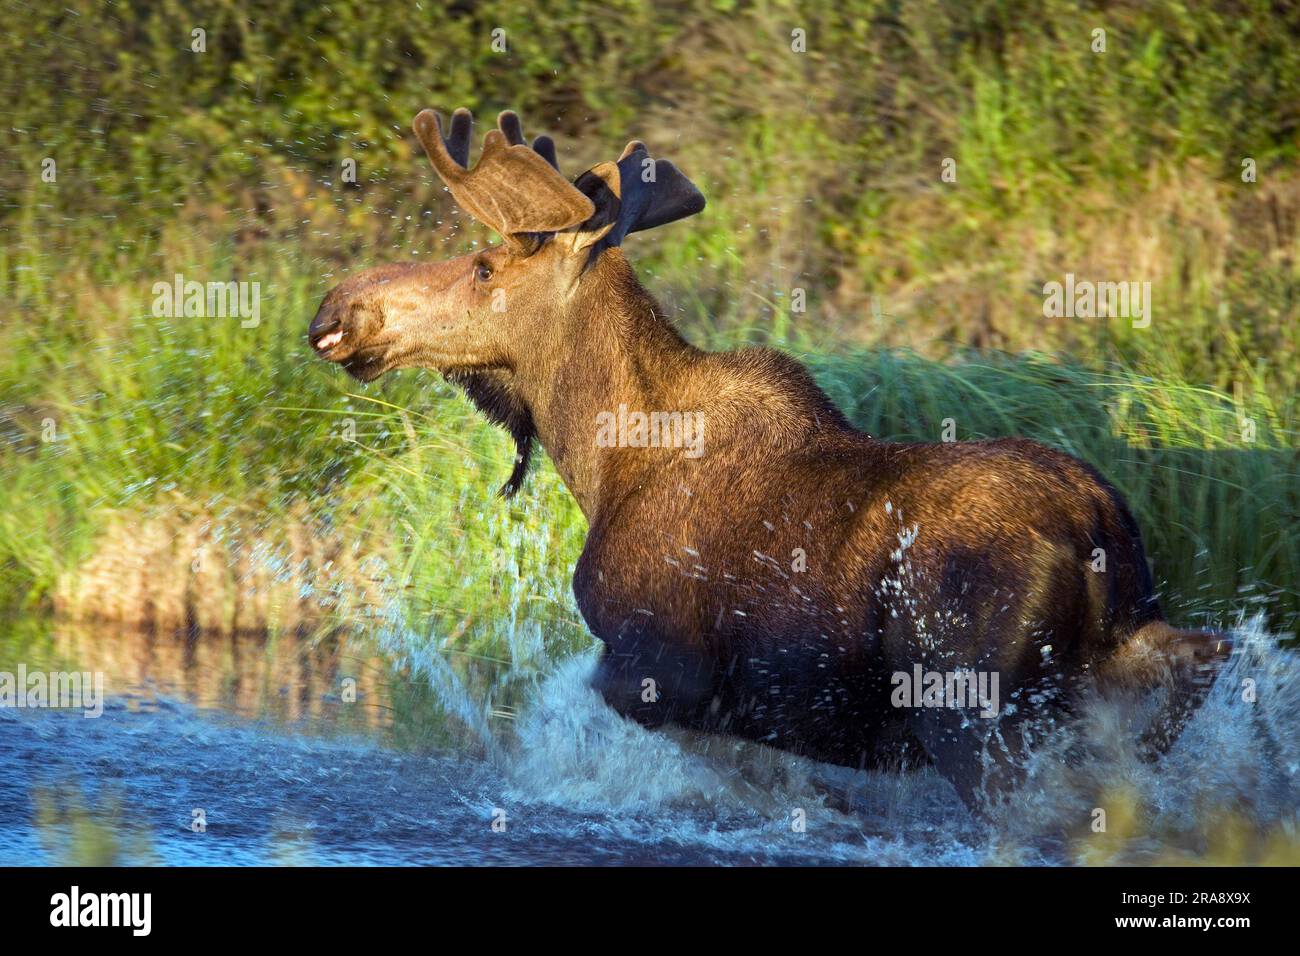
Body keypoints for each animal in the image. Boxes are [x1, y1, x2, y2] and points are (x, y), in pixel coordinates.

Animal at [308, 107, 1232, 809]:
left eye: (483, 265)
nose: (337, 307)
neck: (600, 464)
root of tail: (1096, 529)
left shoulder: (658, 664)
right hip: (1119, 661)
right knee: (1197, 666)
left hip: (971, 707)